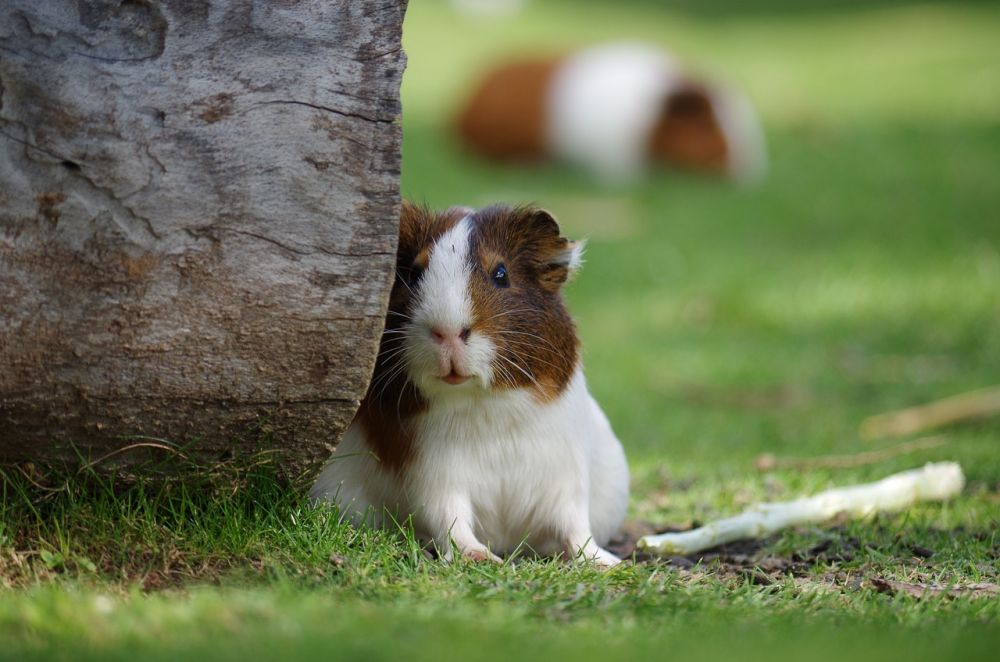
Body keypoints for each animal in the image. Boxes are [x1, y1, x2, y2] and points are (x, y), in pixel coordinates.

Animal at [310, 201, 629, 567]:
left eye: (501, 274)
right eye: (413, 273)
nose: (447, 332)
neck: (482, 404)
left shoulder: (565, 476)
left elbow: (576, 529)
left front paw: (609, 564)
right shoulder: (434, 475)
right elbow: (450, 520)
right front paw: (482, 558)